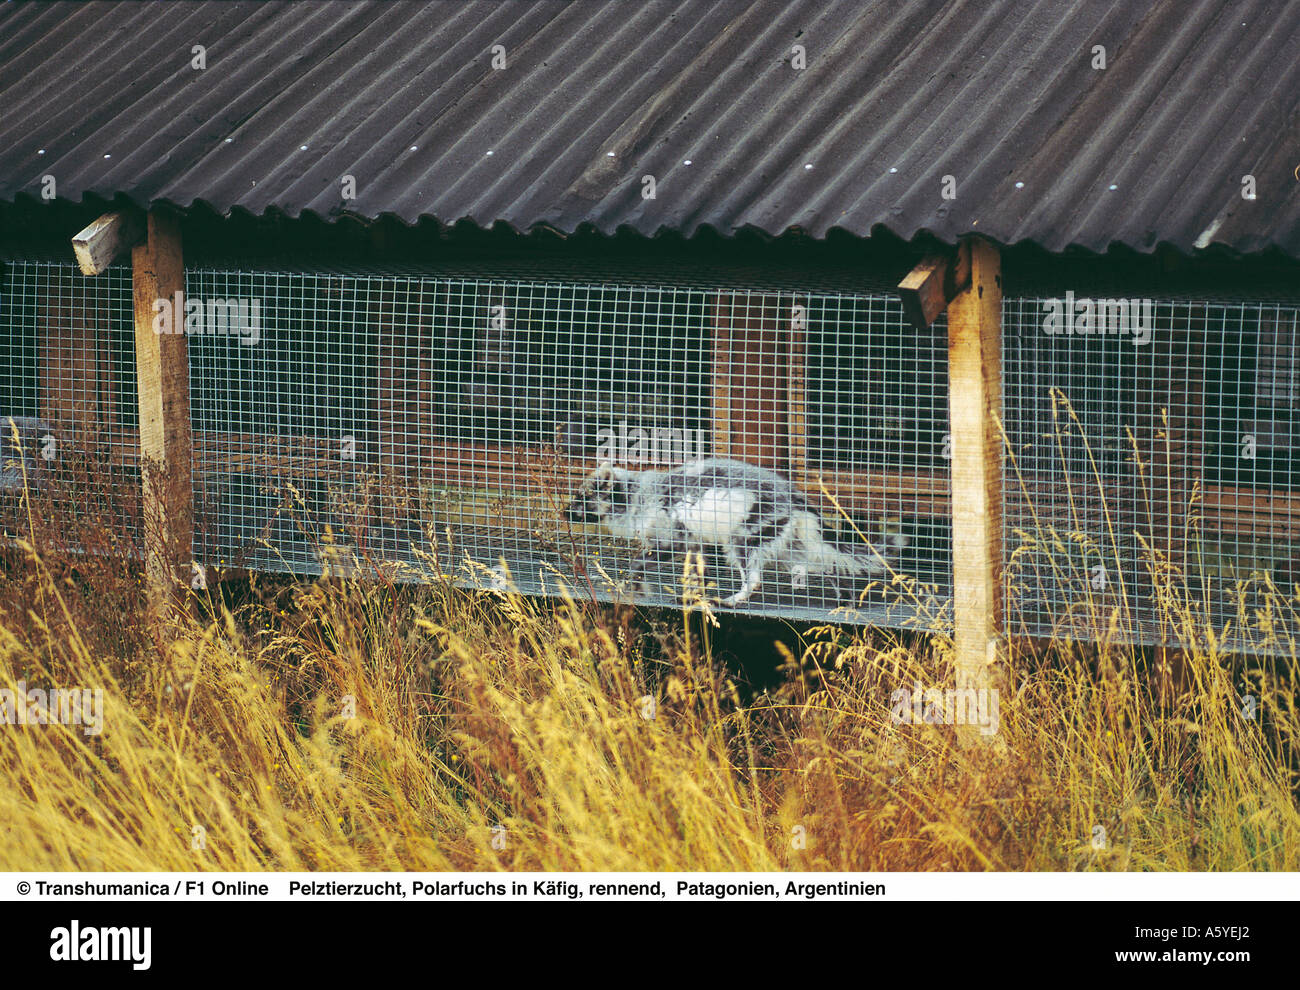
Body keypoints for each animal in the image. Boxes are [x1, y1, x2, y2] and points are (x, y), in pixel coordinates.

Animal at [566, 457, 899, 606]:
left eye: (581, 498)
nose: (562, 511)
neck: (640, 495)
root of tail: (795, 496)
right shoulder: (694, 543)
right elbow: (697, 573)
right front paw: (694, 594)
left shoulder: (671, 536)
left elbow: (640, 563)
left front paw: (630, 584)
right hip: (787, 544)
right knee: (823, 564)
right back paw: (842, 599)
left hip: (744, 538)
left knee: (754, 578)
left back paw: (734, 598)